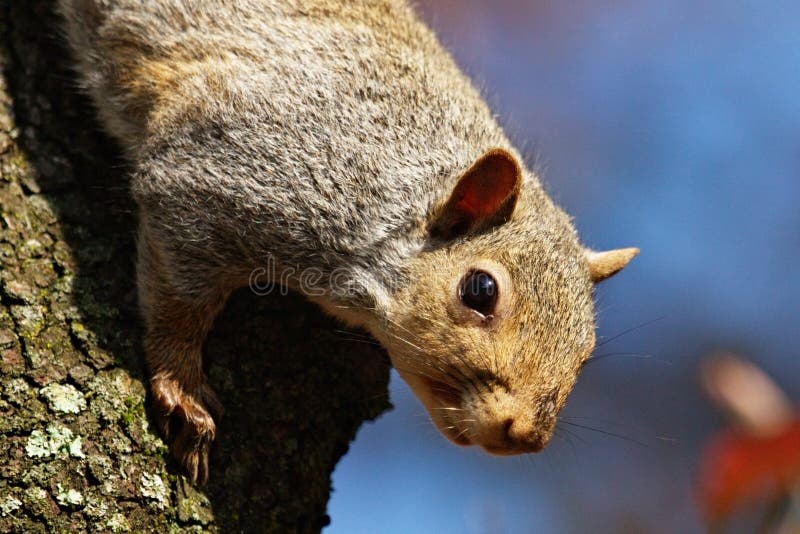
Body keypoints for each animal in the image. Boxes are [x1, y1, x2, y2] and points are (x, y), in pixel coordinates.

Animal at [59, 0, 638, 484]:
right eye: (480, 291)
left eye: (585, 352)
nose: (525, 437)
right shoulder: (224, 171)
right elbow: (181, 288)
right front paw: (182, 384)